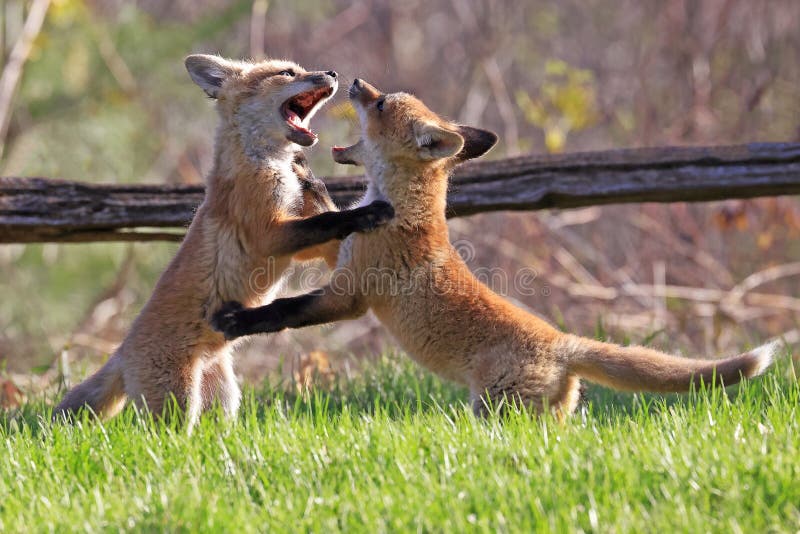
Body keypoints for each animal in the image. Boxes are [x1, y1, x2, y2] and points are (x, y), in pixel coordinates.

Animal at [53, 57, 393, 429]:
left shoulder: (301, 241)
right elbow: (327, 221)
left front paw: (311, 180)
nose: (332, 74)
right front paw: (368, 212)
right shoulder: (267, 234)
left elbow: (323, 215)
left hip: (224, 398)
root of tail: (122, 350)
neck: (262, 163)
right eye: (287, 73)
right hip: (178, 403)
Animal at [211, 78, 779, 417]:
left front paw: (236, 320)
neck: (407, 210)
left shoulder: (350, 297)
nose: (352, 81)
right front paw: (308, 181)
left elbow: (286, 310)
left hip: (496, 412)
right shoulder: (345, 254)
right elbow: (331, 216)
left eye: (381, 103)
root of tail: (562, 343)